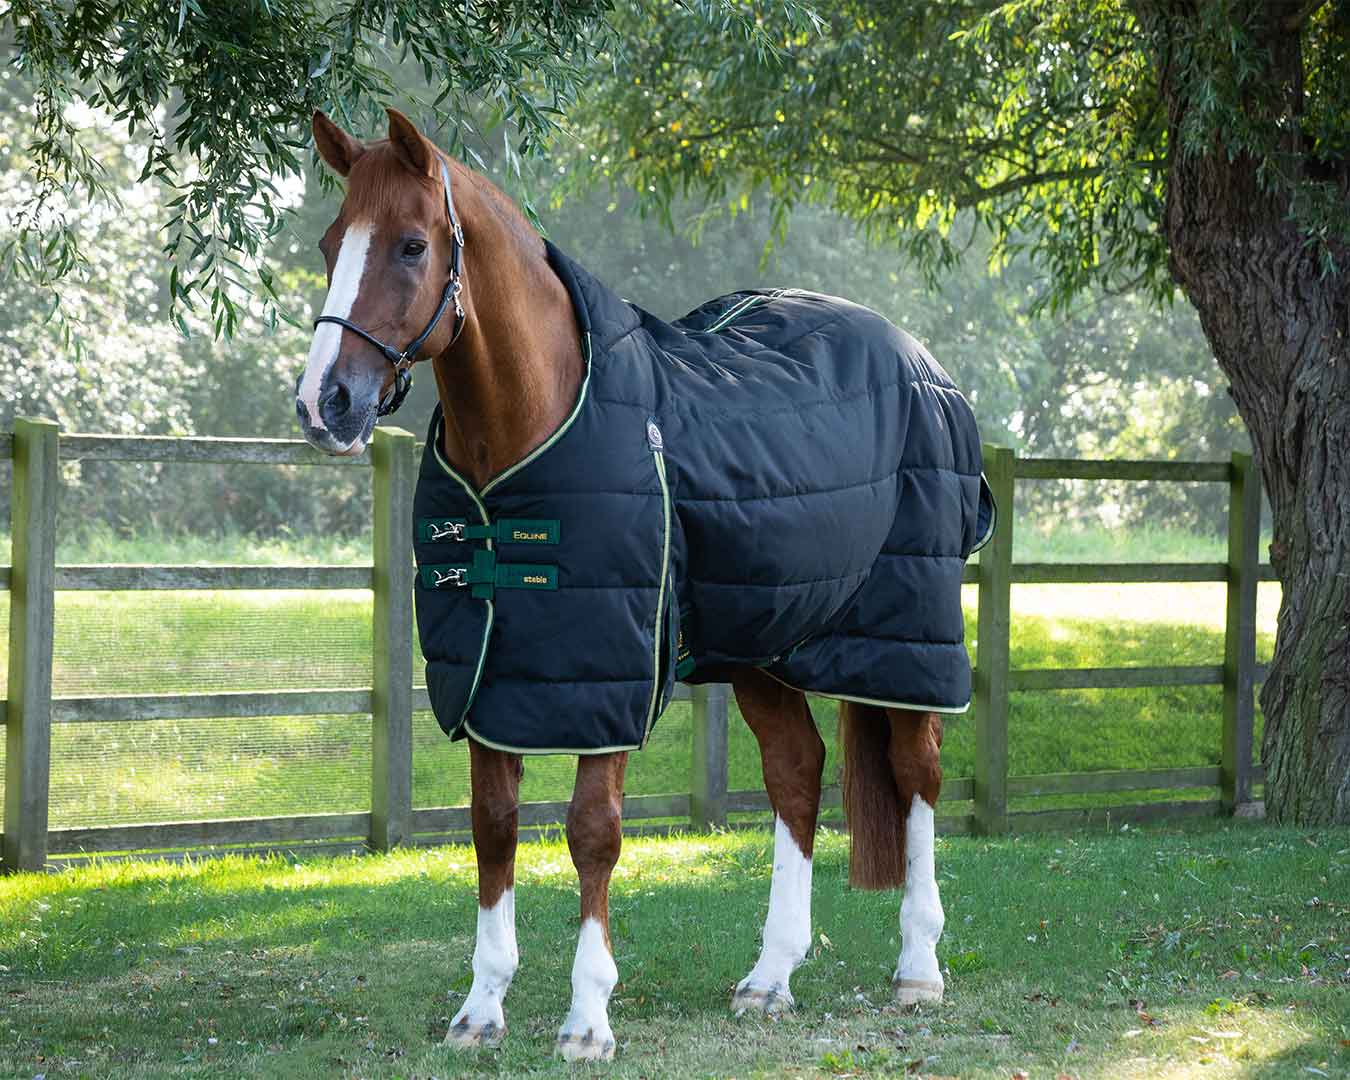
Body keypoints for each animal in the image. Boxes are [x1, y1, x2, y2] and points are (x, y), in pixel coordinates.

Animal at [294, 108, 991, 1061]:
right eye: (332, 243)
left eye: (410, 246)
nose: (324, 402)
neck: (537, 426)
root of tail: (921, 360)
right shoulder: (491, 673)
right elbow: (493, 826)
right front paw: (481, 1009)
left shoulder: (610, 674)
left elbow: (592, 833)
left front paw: (588, 1018)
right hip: (760, 644)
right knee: (797, 772)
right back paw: (770, 977)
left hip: (907, 635)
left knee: (918, 773)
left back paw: (919, 968)